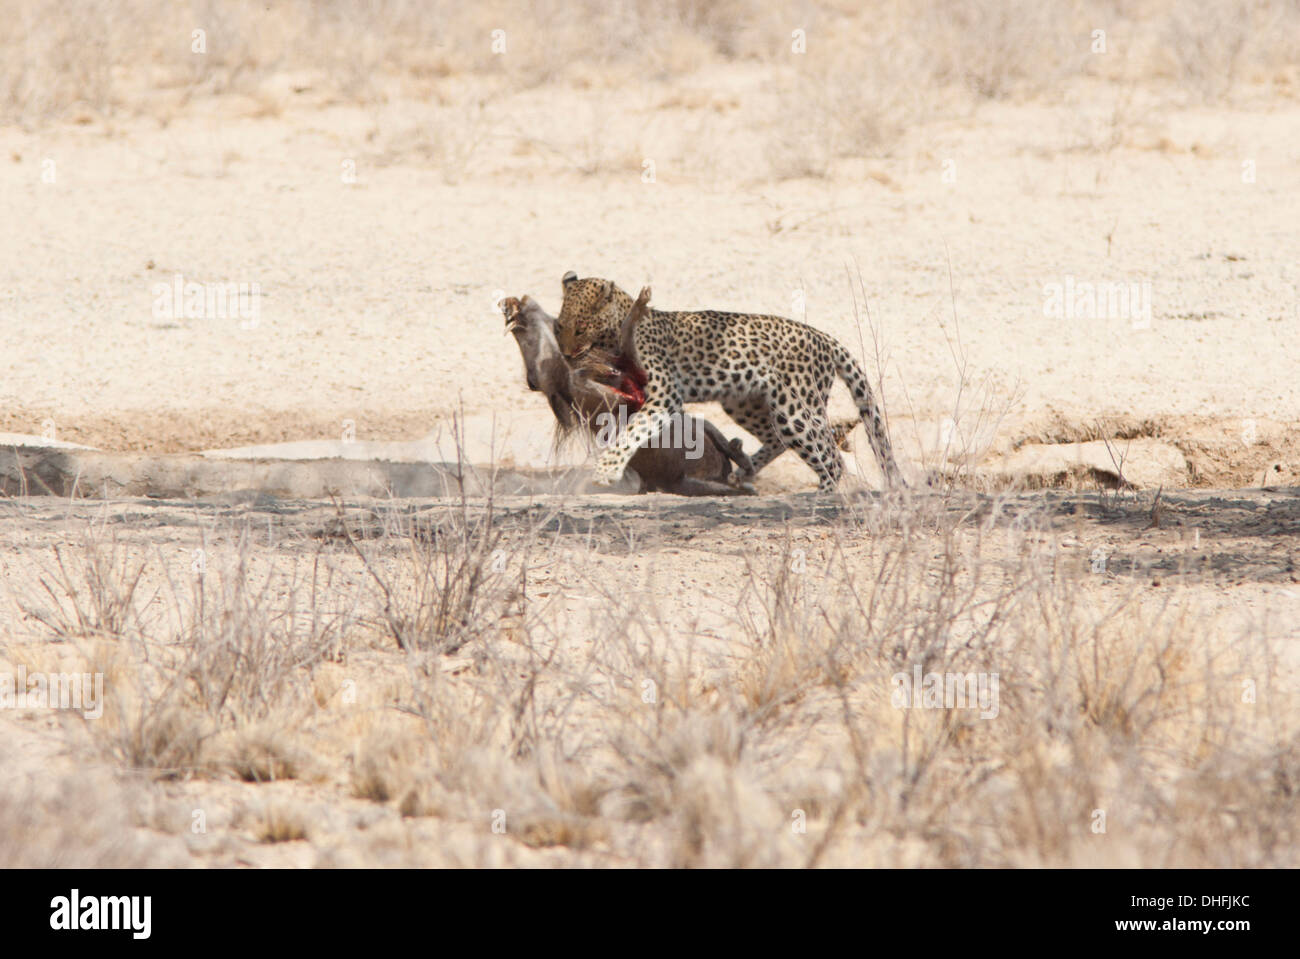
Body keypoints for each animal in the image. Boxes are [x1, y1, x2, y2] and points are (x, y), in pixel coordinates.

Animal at [503, 287, 756, 496]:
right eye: (532, 381)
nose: (514, 305)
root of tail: (675, 480)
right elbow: (627, 332)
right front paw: (641, 303)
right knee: (734, 472)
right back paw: (742, 474)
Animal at [555, 271, 906, 492]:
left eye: (581, 326)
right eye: (559, 326)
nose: (567, 355)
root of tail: (824, 338)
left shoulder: (665, 395)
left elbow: (631, 432)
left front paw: (606, 471)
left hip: (796, 407)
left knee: (832, 458)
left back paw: (816, 497)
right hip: (744, 402)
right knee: (781, 440)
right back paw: (743, 471)